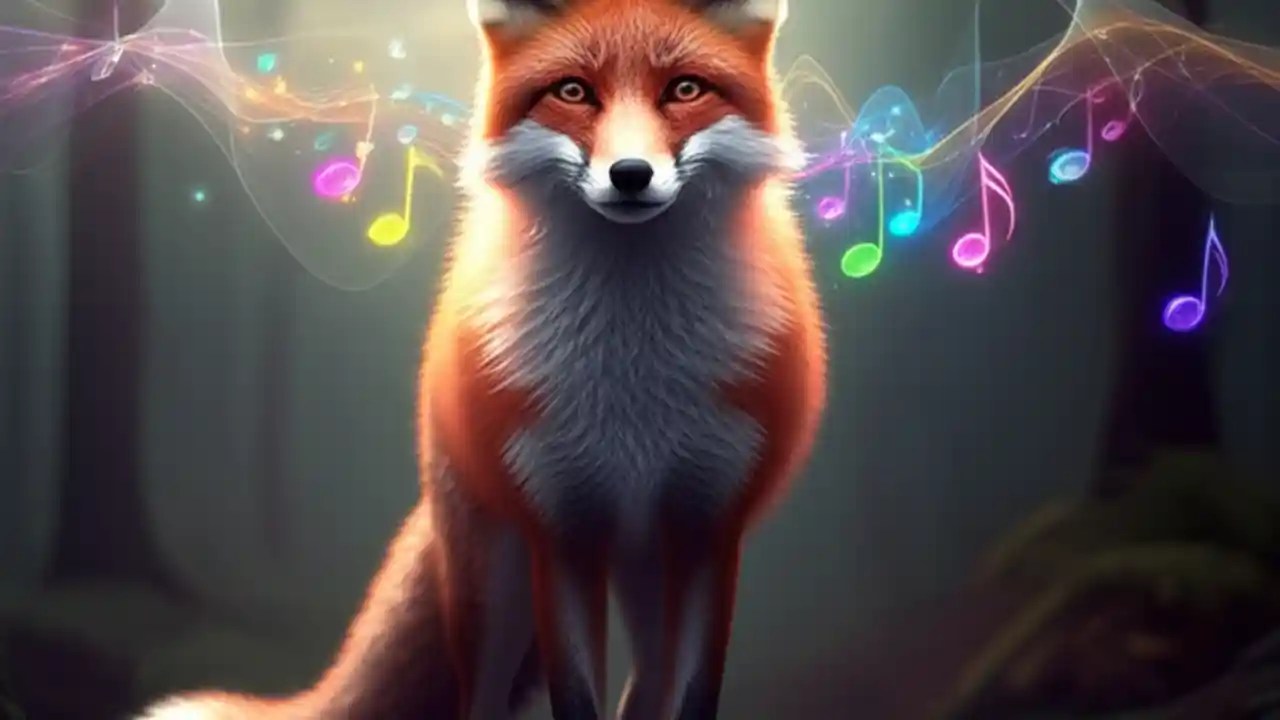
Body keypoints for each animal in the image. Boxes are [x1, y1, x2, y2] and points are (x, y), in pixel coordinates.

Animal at [137, 0, 825, 718]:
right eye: (573, 91)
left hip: (641, 569)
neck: (634, 381)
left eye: (685, 89)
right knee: (482, 693)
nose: (631, 174)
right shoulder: (561, 530)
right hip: (494, 582)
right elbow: (574, 693)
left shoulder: (708, 530)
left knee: (649, 681)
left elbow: (691, 691)